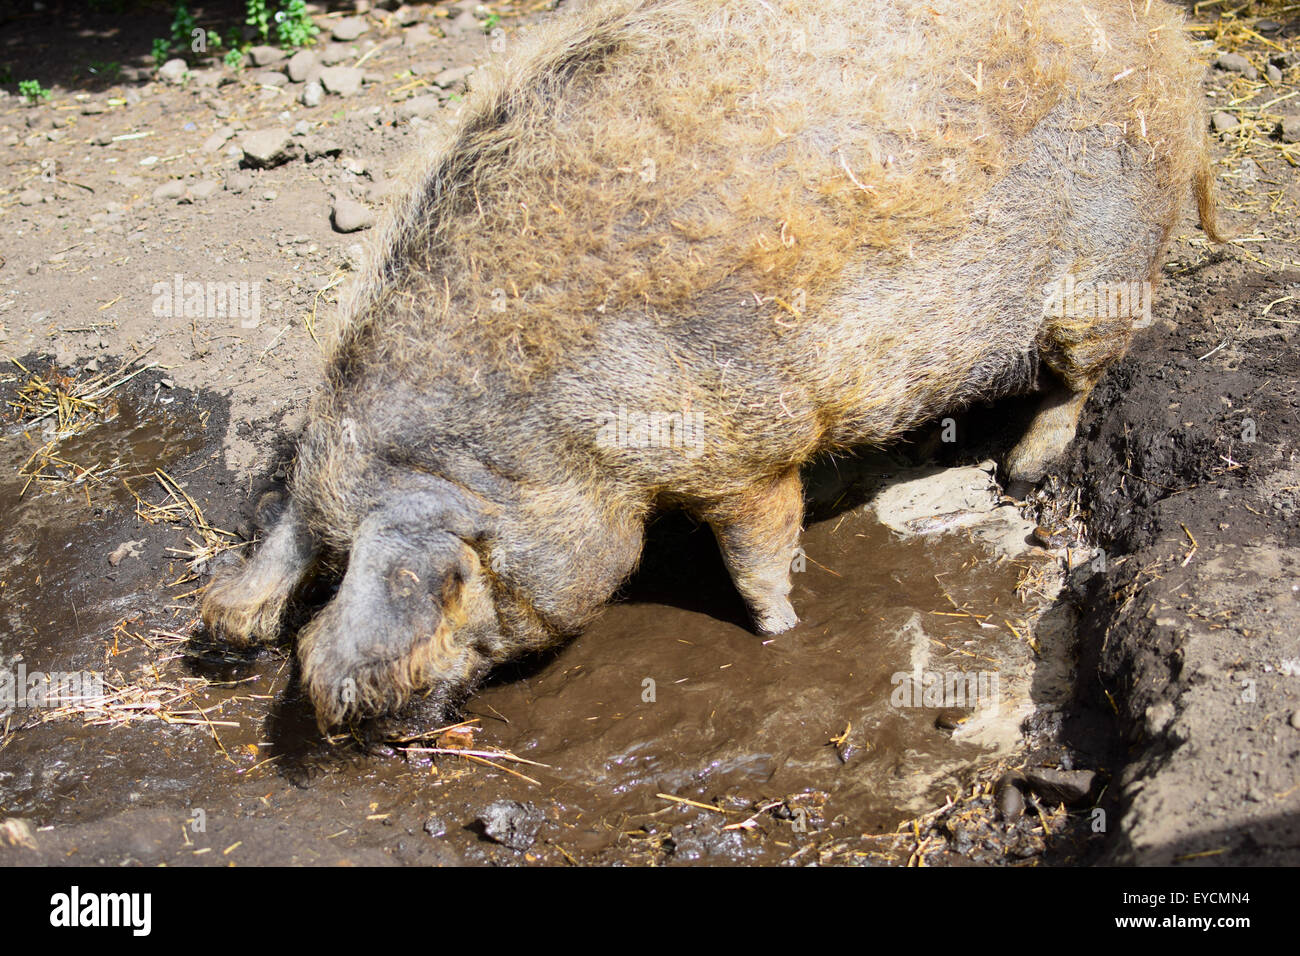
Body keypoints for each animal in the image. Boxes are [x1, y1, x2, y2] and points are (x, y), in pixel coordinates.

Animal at [202, 0, 1223, 727]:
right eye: (330, 559)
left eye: (450, 578)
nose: (339, 698)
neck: (551, 433)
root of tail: (1171, 43)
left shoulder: (746, 441)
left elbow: (758, 547)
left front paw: (783, 631)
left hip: (1105, 268)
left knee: (1079, 379)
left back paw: (1022, 469)